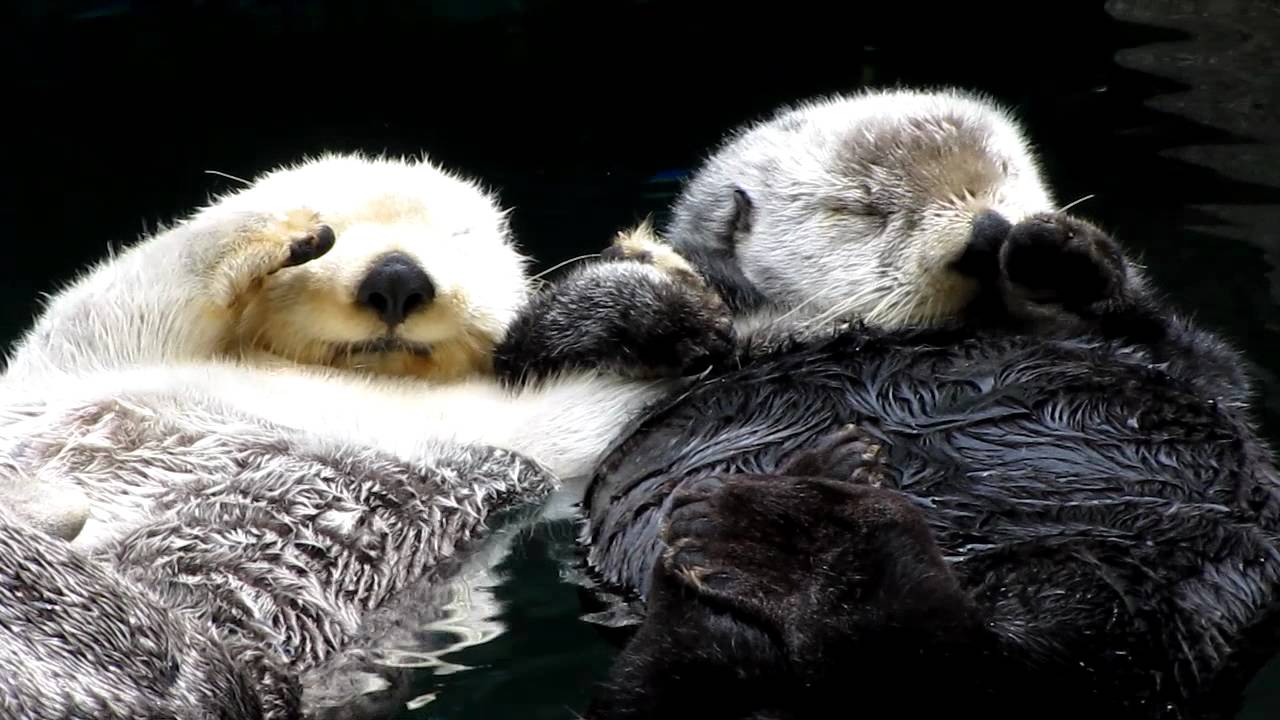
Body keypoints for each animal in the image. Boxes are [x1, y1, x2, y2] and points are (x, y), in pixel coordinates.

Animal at [492, 88, 1280, 719]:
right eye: (865, 210)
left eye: (1004, 175)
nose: (989, 233)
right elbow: (533, 349)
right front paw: (666, 306)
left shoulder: (1173, 360)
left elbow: (1191, 354)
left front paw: (1055, 251)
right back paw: (763, 542)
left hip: (1148, 581)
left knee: (1002, 661)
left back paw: (804, 537)